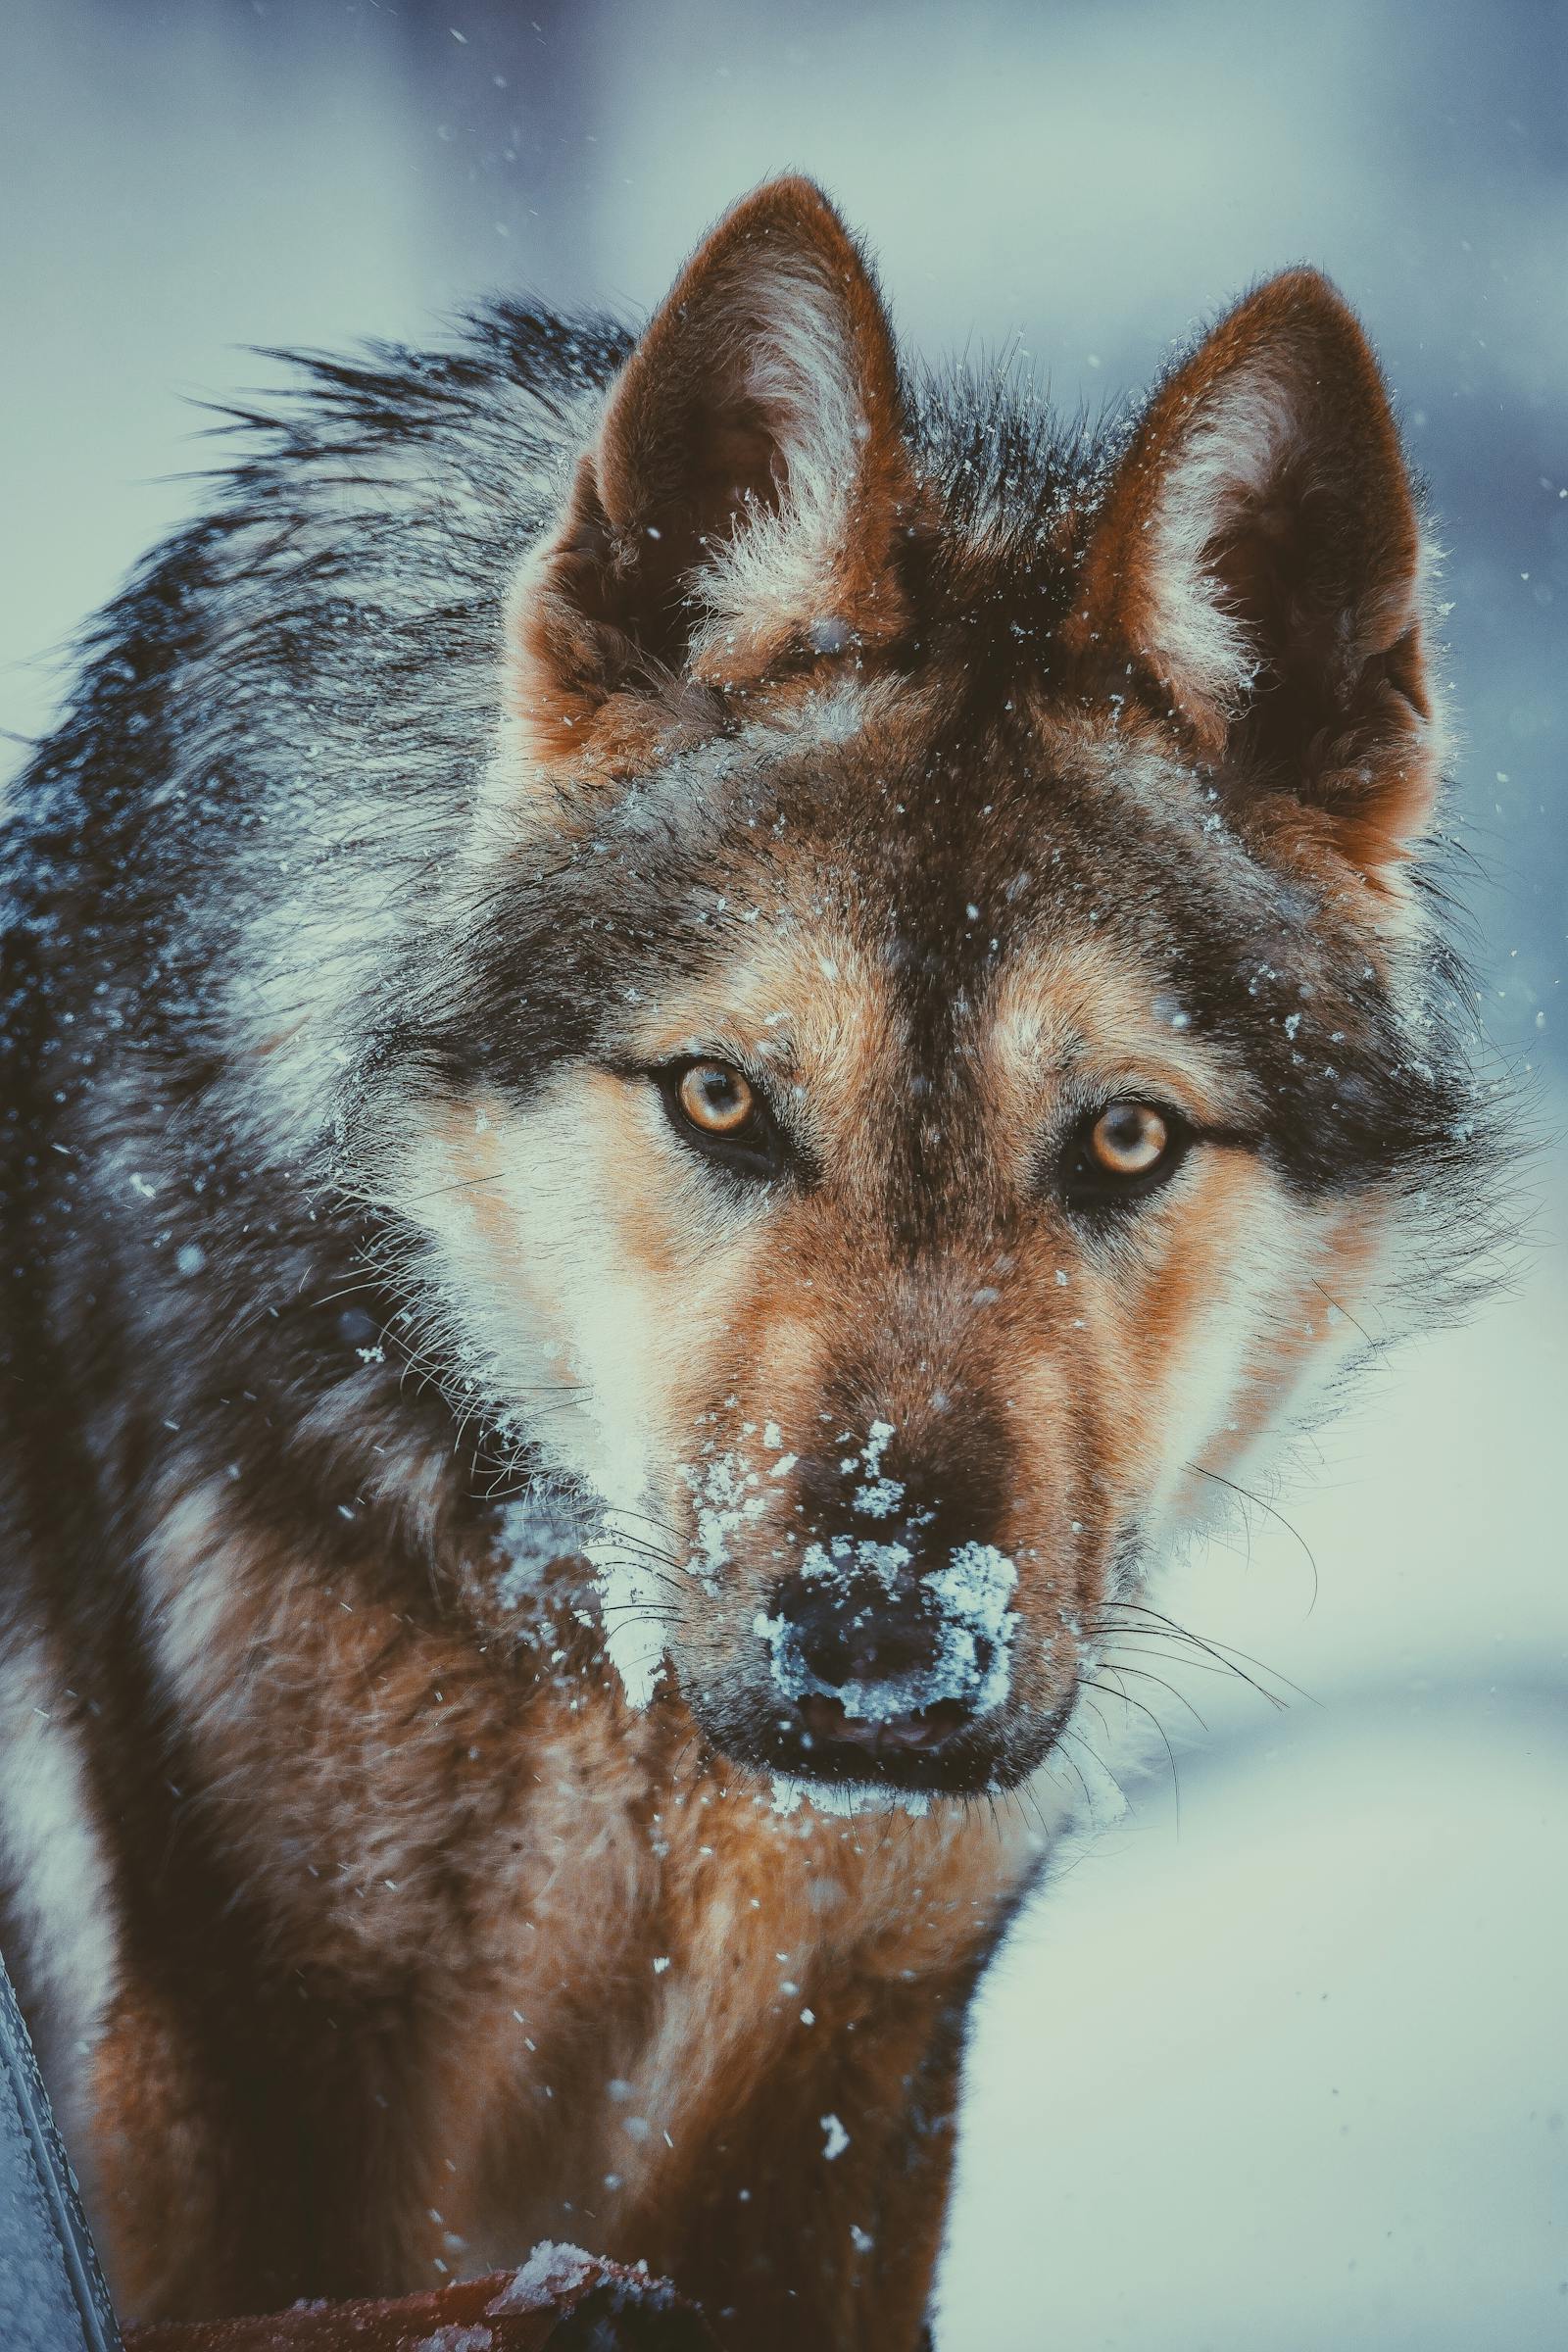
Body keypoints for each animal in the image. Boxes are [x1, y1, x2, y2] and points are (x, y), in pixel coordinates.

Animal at [0, 177, 1493, 2346]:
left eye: (1124, 1138)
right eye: (720, 1098)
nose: (883, 1636)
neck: (641, 1755)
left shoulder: (844, 2112)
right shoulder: (272, 2106)